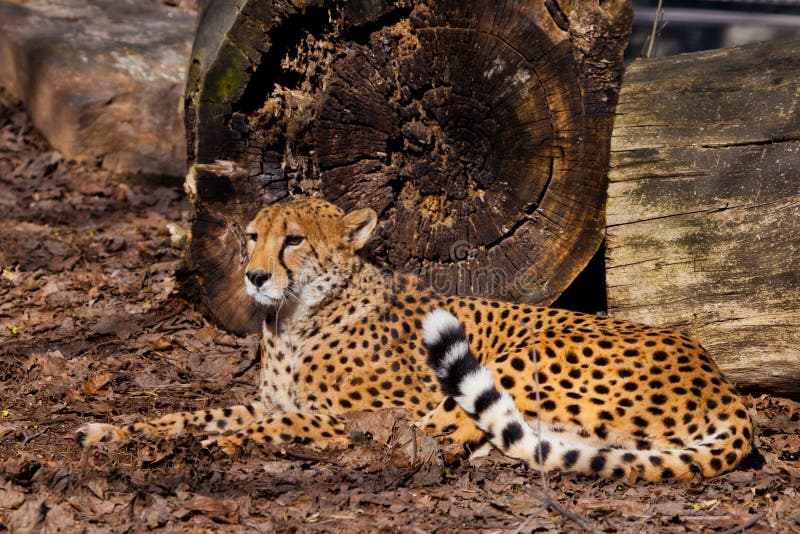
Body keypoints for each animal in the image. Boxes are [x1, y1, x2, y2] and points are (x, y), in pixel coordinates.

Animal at [76, 197, 761, 482]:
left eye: (293, 239)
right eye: (252, 236)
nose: (255, 275)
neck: (295, 317)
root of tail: (718, 379)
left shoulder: (360, 410)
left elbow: (277, 424)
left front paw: (221, 446)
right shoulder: (266, 397)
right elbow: (193, 413)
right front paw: (113, 431)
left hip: (518, 361)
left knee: (432, 434)